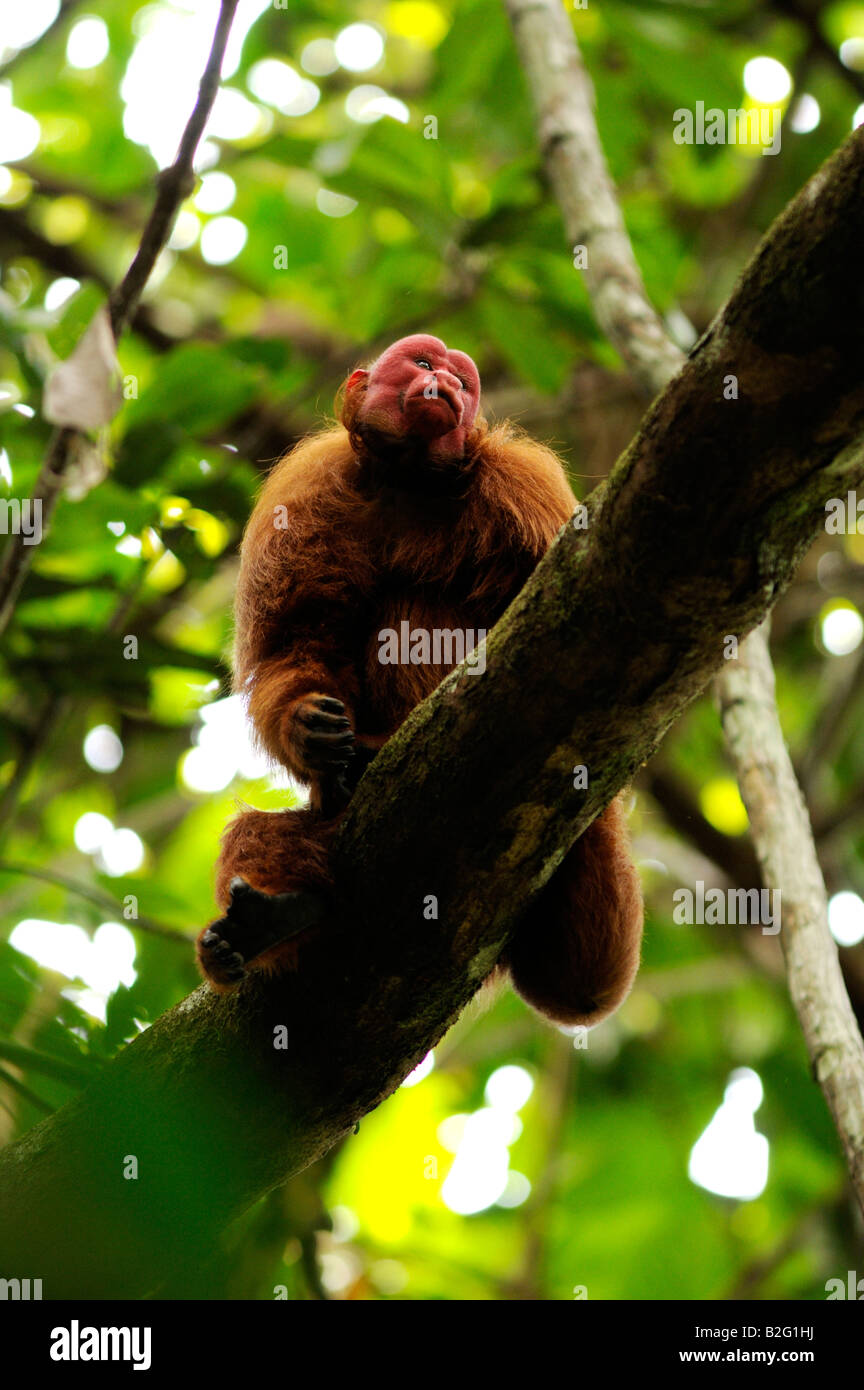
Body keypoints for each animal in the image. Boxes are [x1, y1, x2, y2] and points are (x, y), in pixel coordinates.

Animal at [197, 334, 643, 1028]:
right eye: (427, 365)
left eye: (463, 380)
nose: (450, 387)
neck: (406, 481)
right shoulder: (309, 485)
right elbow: (290, 649)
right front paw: (305, 728)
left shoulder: (523, 483)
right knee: (268, 834)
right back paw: (275, 914)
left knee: (412, 605)